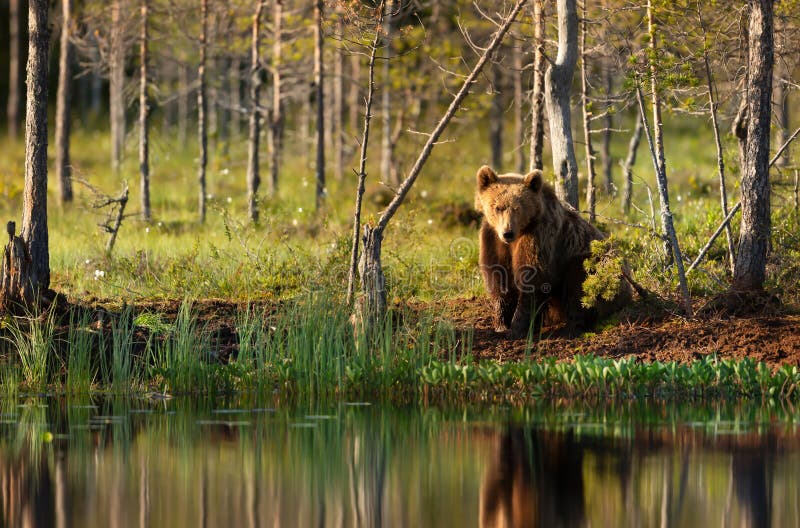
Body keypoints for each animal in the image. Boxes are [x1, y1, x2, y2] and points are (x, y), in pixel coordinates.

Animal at [474, 165, 631, 339]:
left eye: (517, 208)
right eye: (497, 207)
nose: (507, 232)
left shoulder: (539, 236)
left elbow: (532, 279)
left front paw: (518, 327)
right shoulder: (493, 240)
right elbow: (498, 277)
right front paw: (501, 324)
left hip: (592, 264)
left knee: (578, 287)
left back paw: (572, 327)